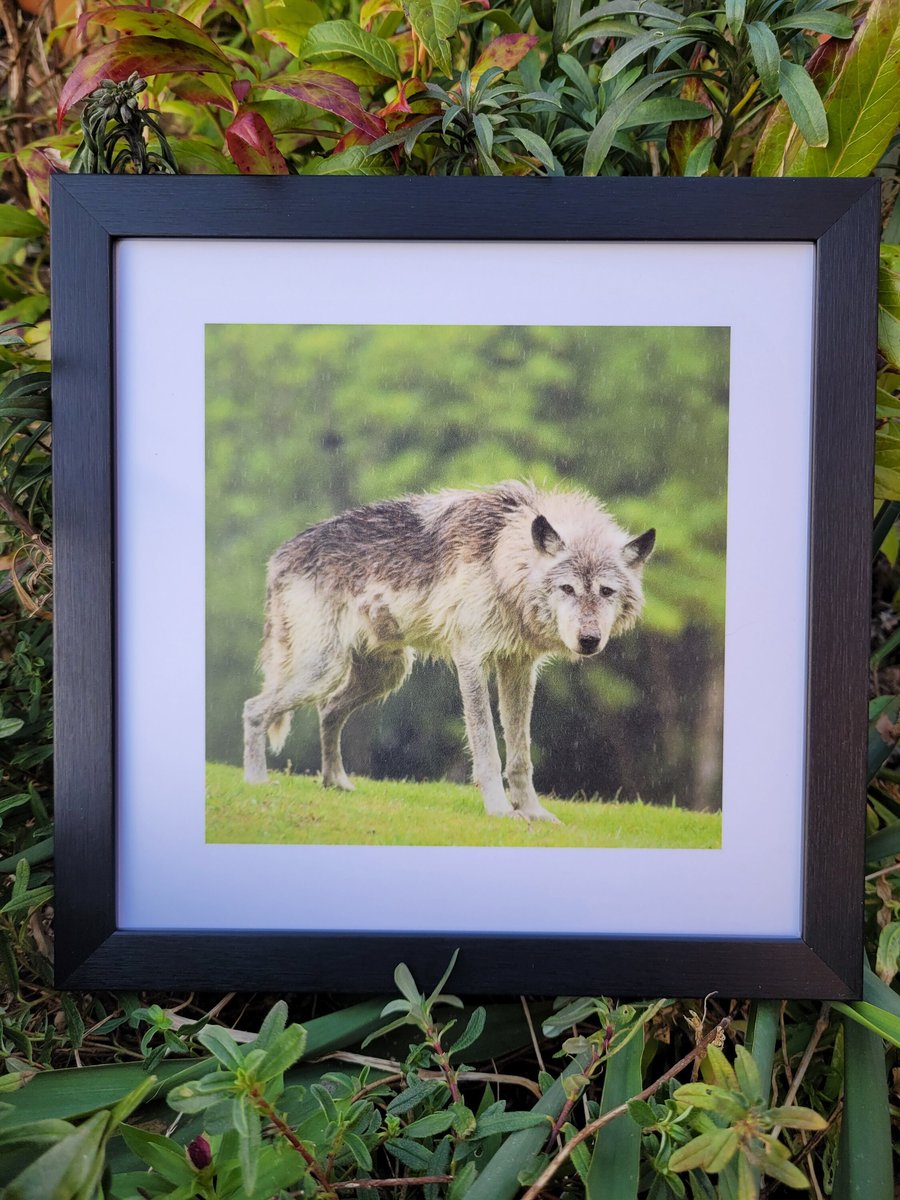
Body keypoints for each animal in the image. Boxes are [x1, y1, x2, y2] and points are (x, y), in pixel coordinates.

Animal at [242, 481, 655, 821]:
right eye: (567, 588)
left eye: (606, 592)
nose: (589, 639)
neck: (502, 555)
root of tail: (280, 555)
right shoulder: (471, 660)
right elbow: (487, 747)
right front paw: (500, 811)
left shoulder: (519, 668)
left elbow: (520, 755)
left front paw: (533, 814)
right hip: (322, 671)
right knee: (255, 710)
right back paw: (256, 781)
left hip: (385, 675)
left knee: (328, 712)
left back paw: (336, 783)